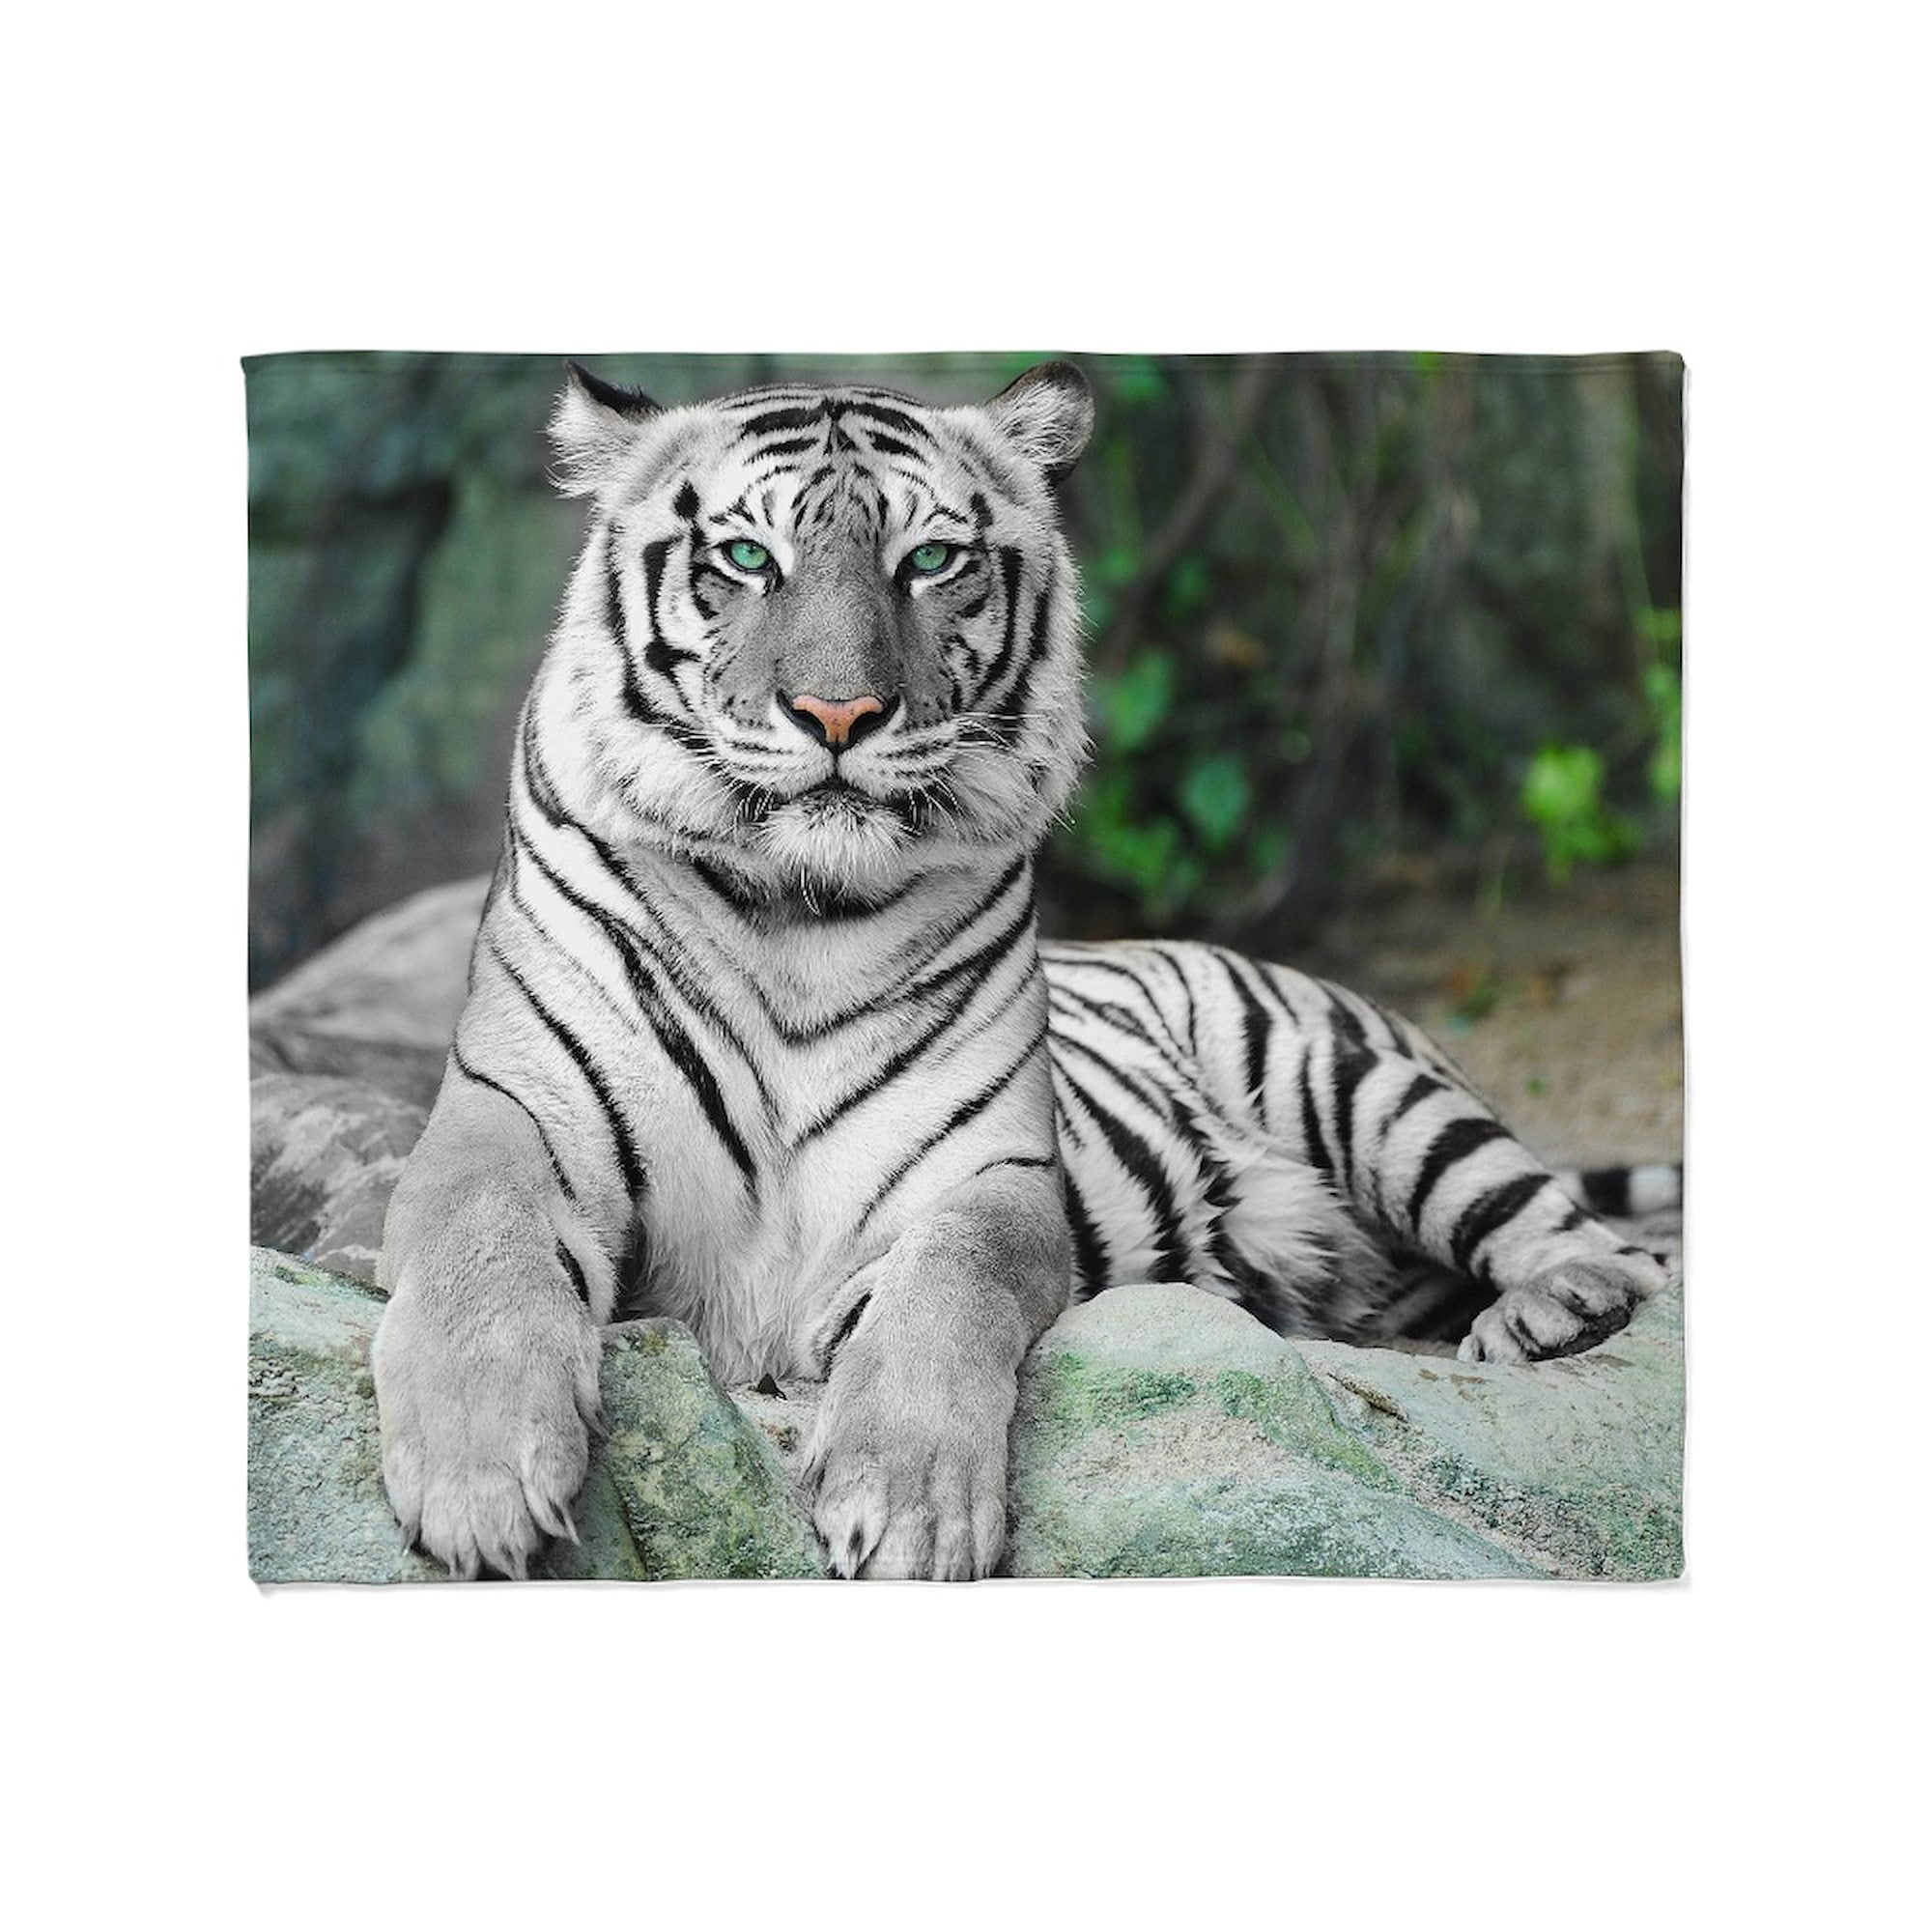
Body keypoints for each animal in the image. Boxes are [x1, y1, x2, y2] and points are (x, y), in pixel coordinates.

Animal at [372, 359, 1676, 1582]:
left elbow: (947, 1292)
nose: (837, 713)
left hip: (1362, 1088)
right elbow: (475, 1245)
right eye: (746, 556)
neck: (792, 917)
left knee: (1601, 1242)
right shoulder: (508, 1113)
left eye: (929, 559)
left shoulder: (986, 1174)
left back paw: (1553, 1311)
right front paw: (480, 1477)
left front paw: (907, 1505)